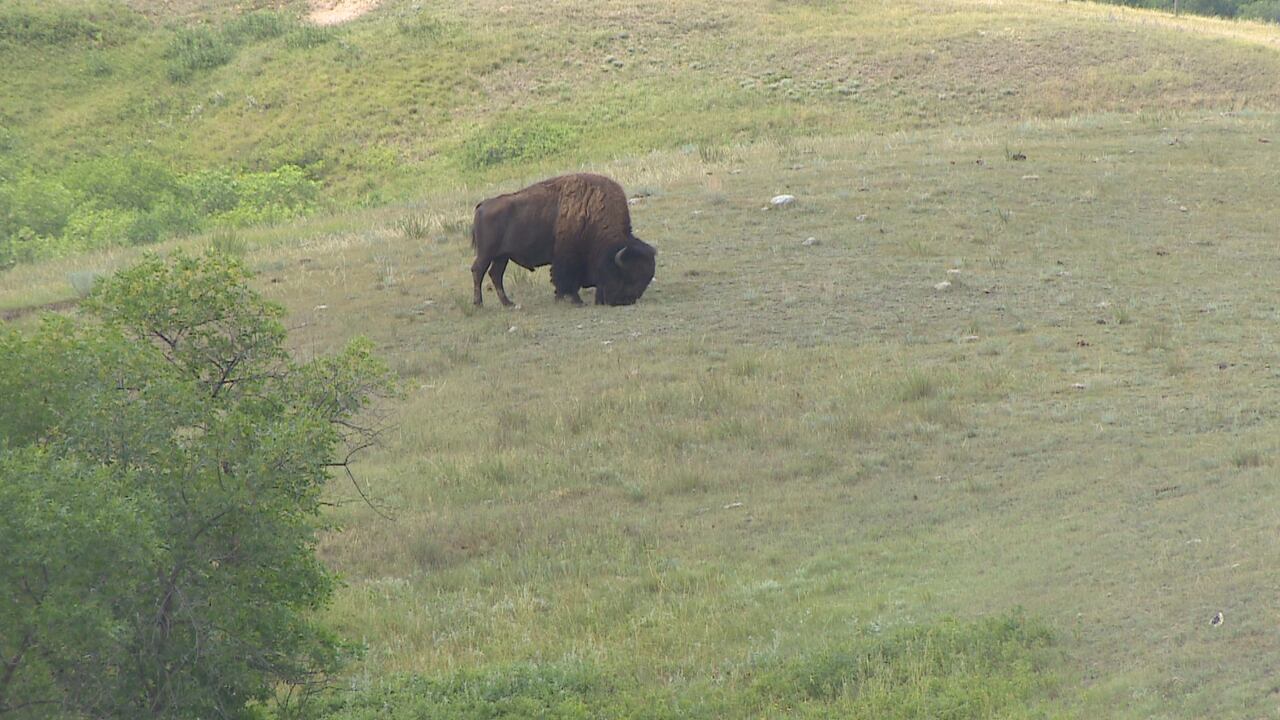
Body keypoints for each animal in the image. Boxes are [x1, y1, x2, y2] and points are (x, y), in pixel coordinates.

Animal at [470, 173, 657, 307]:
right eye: (627, 276)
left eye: (644, 280)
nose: (624, 301)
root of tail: (482, 205)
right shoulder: (568, 258)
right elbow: (567, 279)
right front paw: (575, 301)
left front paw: (561, 298)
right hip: (487, 254)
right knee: (478, 271)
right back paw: (479, 304)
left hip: (502, 257)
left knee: (495, 275)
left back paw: (508, 303)